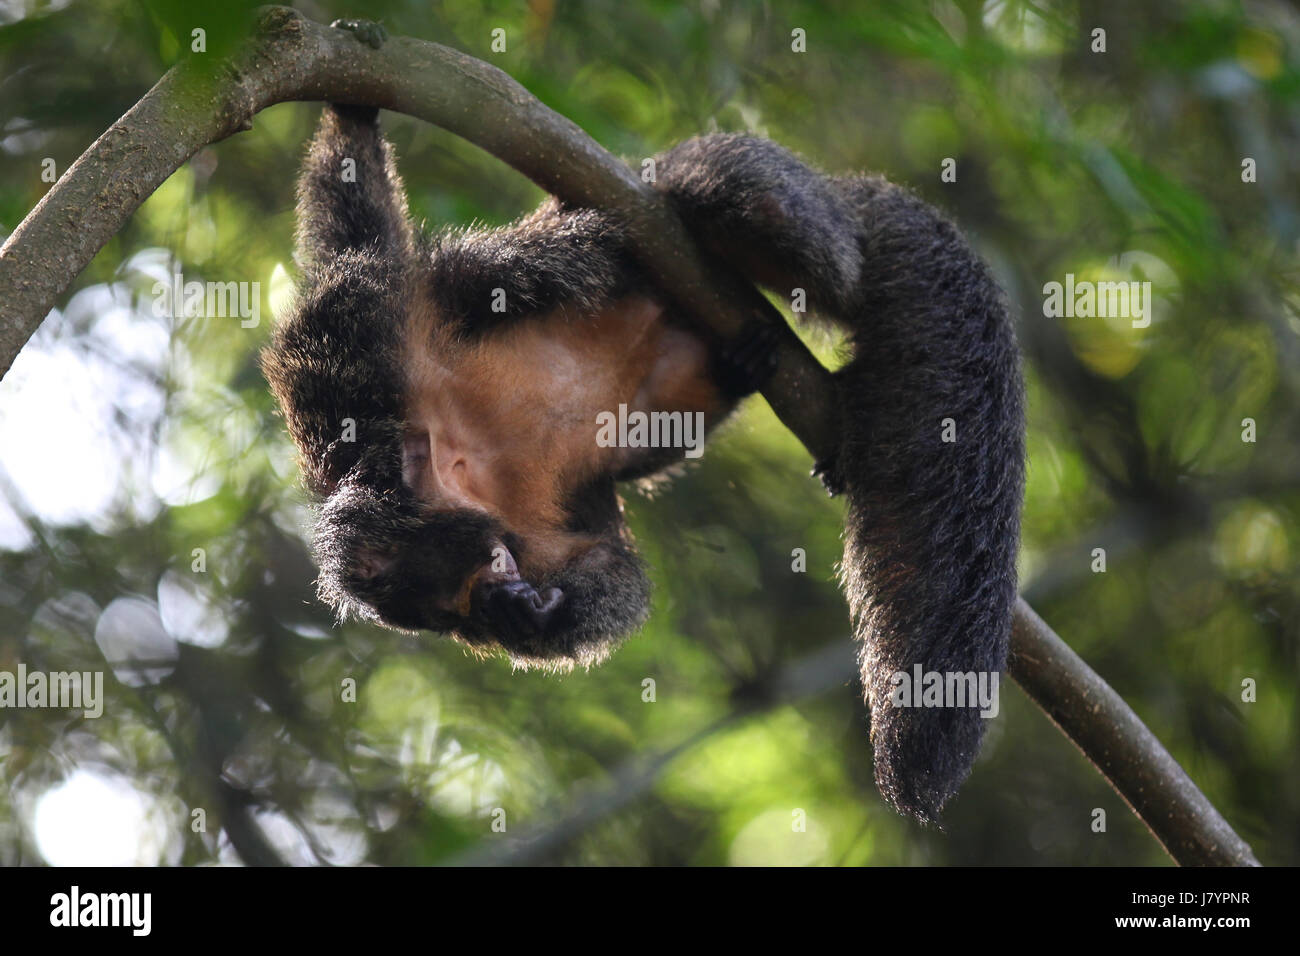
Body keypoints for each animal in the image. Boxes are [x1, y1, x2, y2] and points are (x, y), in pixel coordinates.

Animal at [262, 29, 1024, 824]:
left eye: (450, 589)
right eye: (451, 613)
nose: (485, 596)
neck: (450, 465)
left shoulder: (354, 361)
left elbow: (374, 256)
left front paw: (353, 105)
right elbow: (607, 567)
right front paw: (533, 615)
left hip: (772, 204)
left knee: (753, 209)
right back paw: (752, 361)